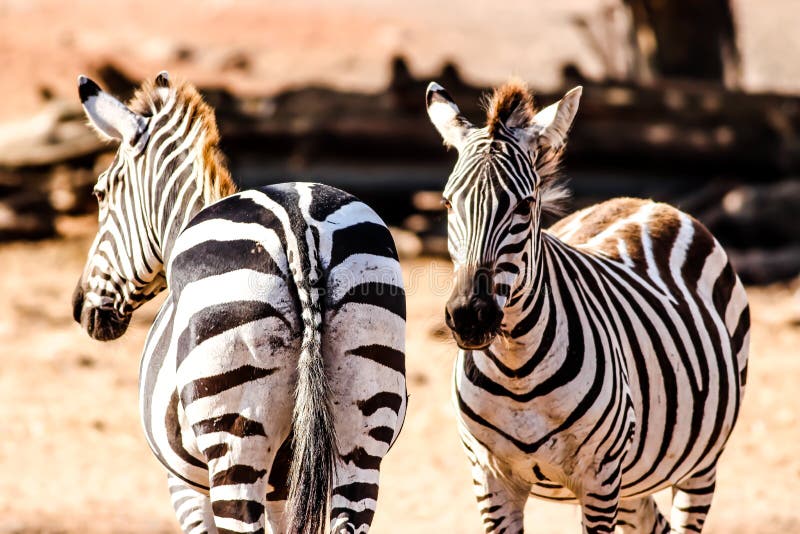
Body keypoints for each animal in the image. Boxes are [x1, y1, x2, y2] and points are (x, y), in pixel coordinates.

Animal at [71, 72, 407, 534]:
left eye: (101, 194)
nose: (81, 308)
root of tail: (300, 226)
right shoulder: (284, 489)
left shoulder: (185, 485)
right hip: (362, 434)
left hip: (233, 438)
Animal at [425, 79, 749, 533]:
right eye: (447, 204)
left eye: (525, 206)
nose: (470, 315)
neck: (517, 373)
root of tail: (650, 203)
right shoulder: (489, 478)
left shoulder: (599, 477)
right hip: (635, 477)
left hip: (700, 464)